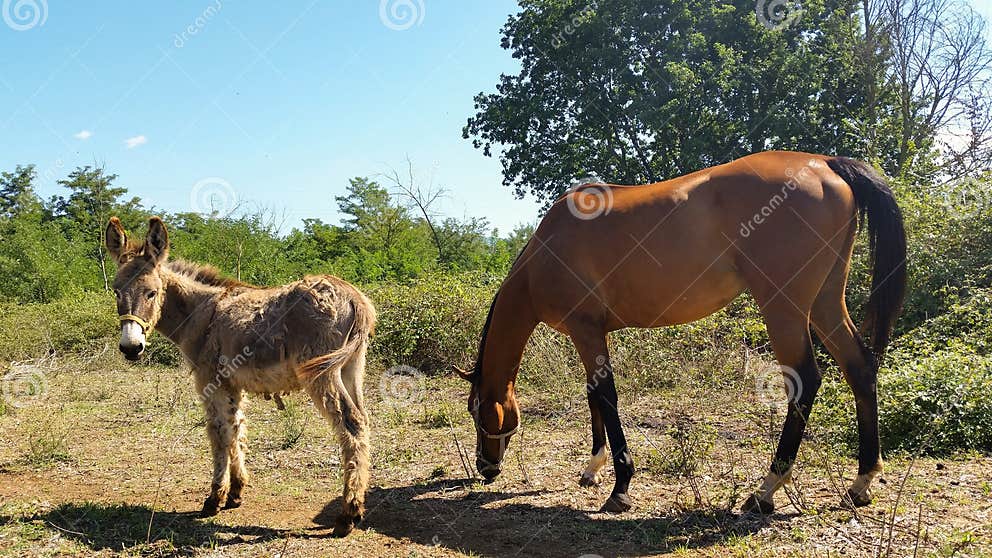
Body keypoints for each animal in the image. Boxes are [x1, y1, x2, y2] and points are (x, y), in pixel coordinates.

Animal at [105, 216, 375, 537]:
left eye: (151, 293)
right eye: (116, 292)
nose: (130, 348)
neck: (200, 313)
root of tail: (354, 297)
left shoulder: (209, 381)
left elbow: (218, 433)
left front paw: (213, 499)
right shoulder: (232, 384)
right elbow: (236, 429)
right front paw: (236, 491)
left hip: (322, 373)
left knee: (351, 424)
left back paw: (348, 514)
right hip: (351, 368)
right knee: (363, 421)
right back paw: (357, 507)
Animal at [455, 151, 906, 514]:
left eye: (478, 412)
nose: (485, 467)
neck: (547, 249)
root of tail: (823, 163)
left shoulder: (585, 330)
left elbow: (606, 396)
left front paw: (620, 487)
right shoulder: (590, 334)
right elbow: (593, 395)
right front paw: (593, 468)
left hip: (785, 309)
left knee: (806, 380)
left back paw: (766, 490)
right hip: (827, 303)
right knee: (859, 367)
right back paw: (861, 483)